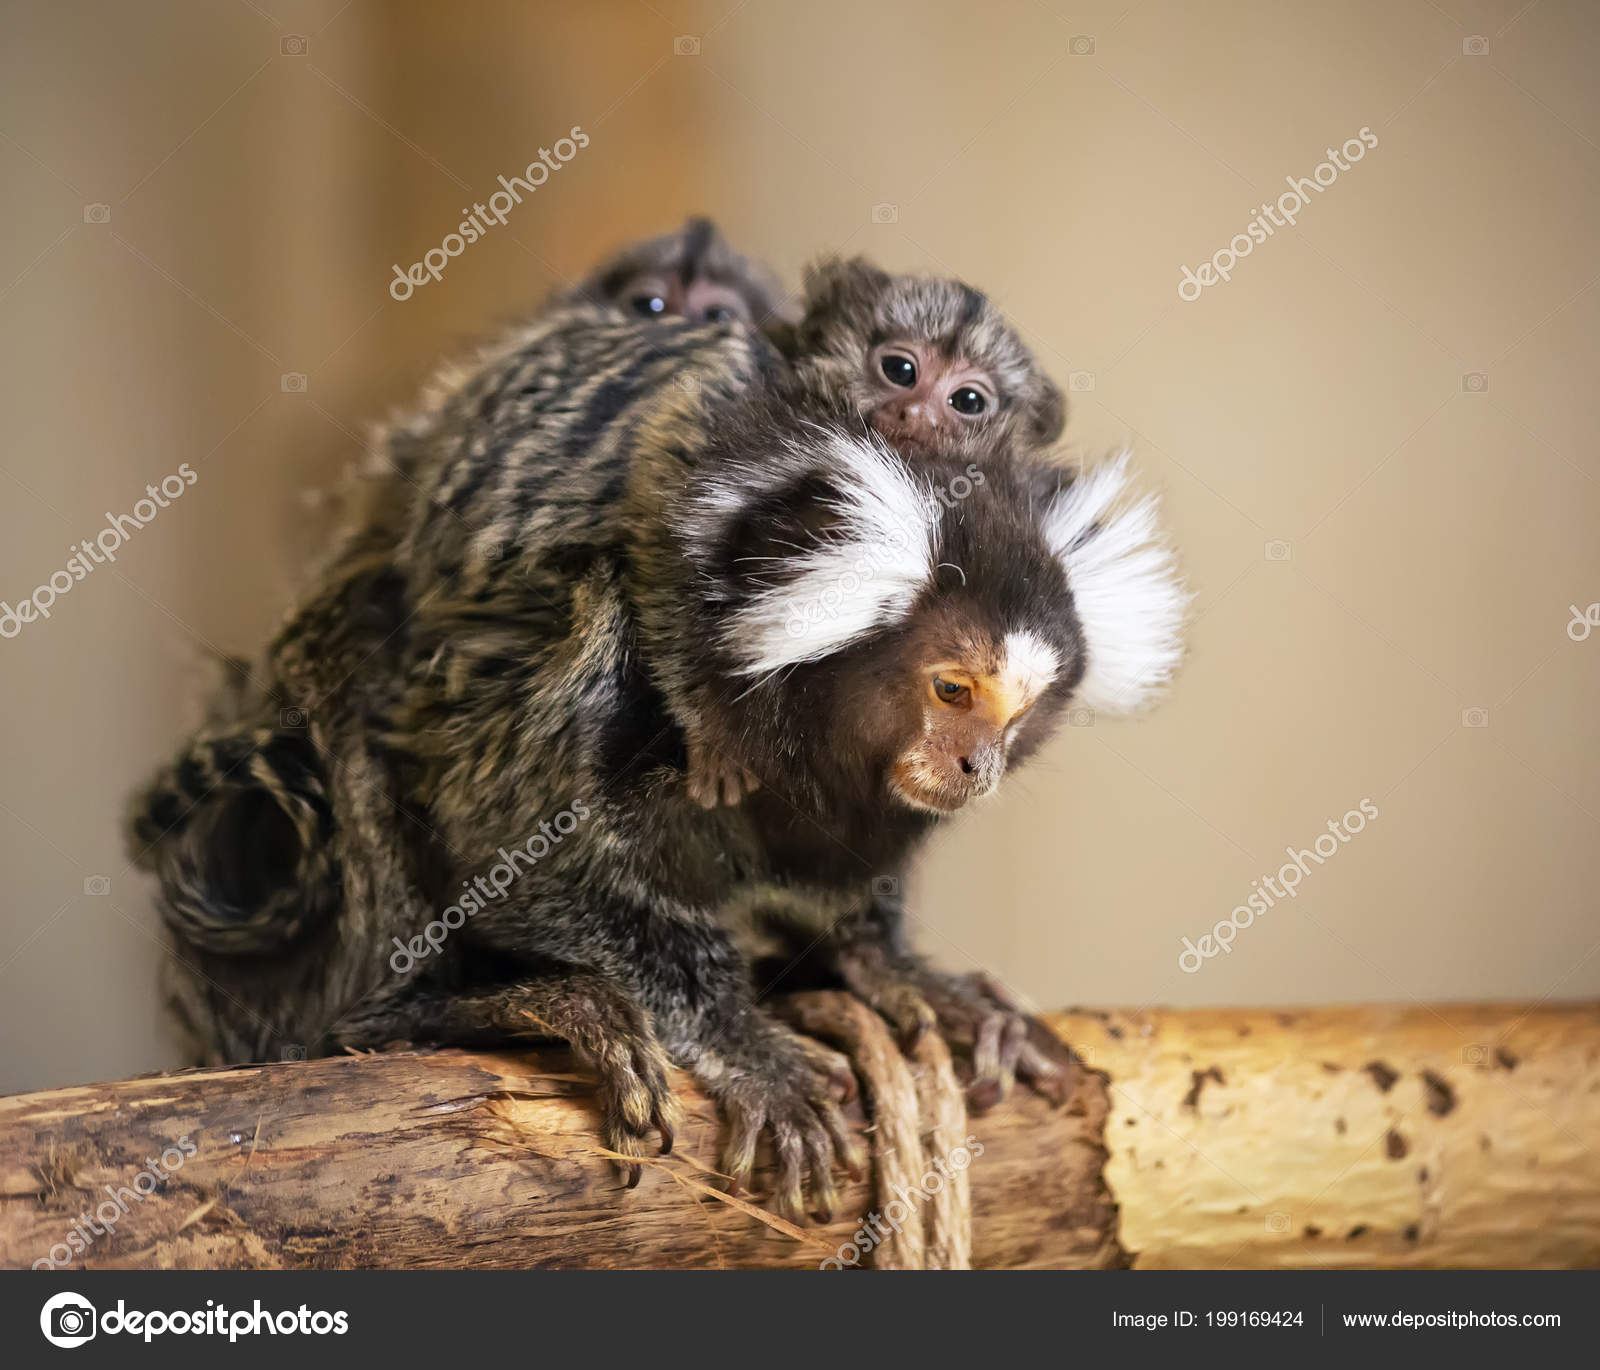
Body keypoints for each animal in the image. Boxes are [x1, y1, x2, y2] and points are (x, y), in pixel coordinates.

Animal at [133, 288, 1186, 1220]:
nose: (979, 768)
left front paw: (886, 966)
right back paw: (460, 1009)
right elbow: (517, 859)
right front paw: (740, 1039)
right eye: (952, 690)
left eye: (1023, 712)